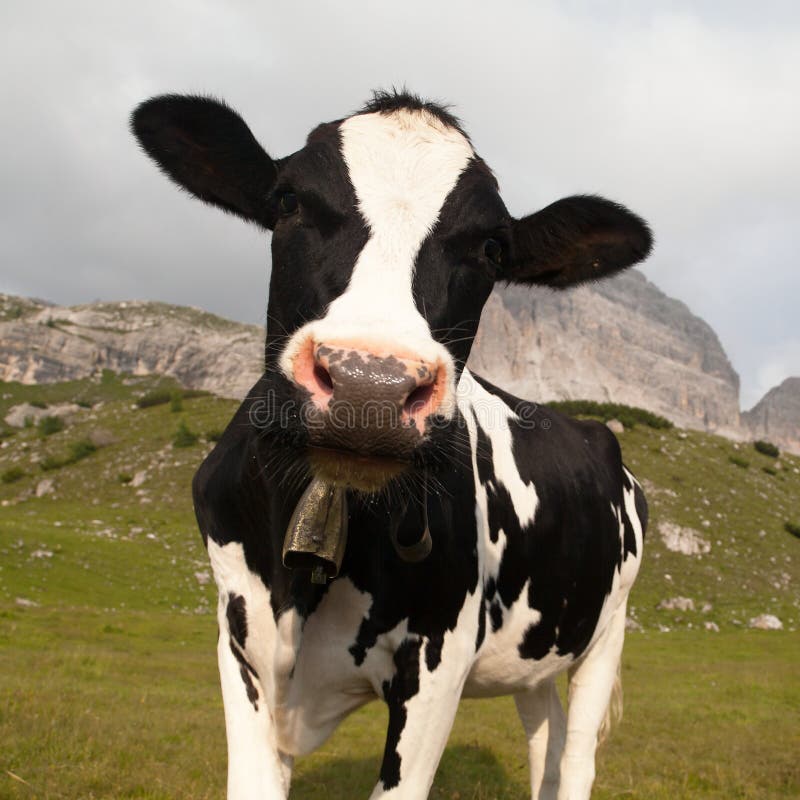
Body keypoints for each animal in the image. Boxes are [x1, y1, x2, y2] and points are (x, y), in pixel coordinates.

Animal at [132, 89, 651, 800]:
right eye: (287, 201)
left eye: (493, 248)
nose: (369, 384)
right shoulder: (238, 644)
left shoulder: (438, 662)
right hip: (536, 648)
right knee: (543, 732)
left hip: (607, 630)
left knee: (574, 759)